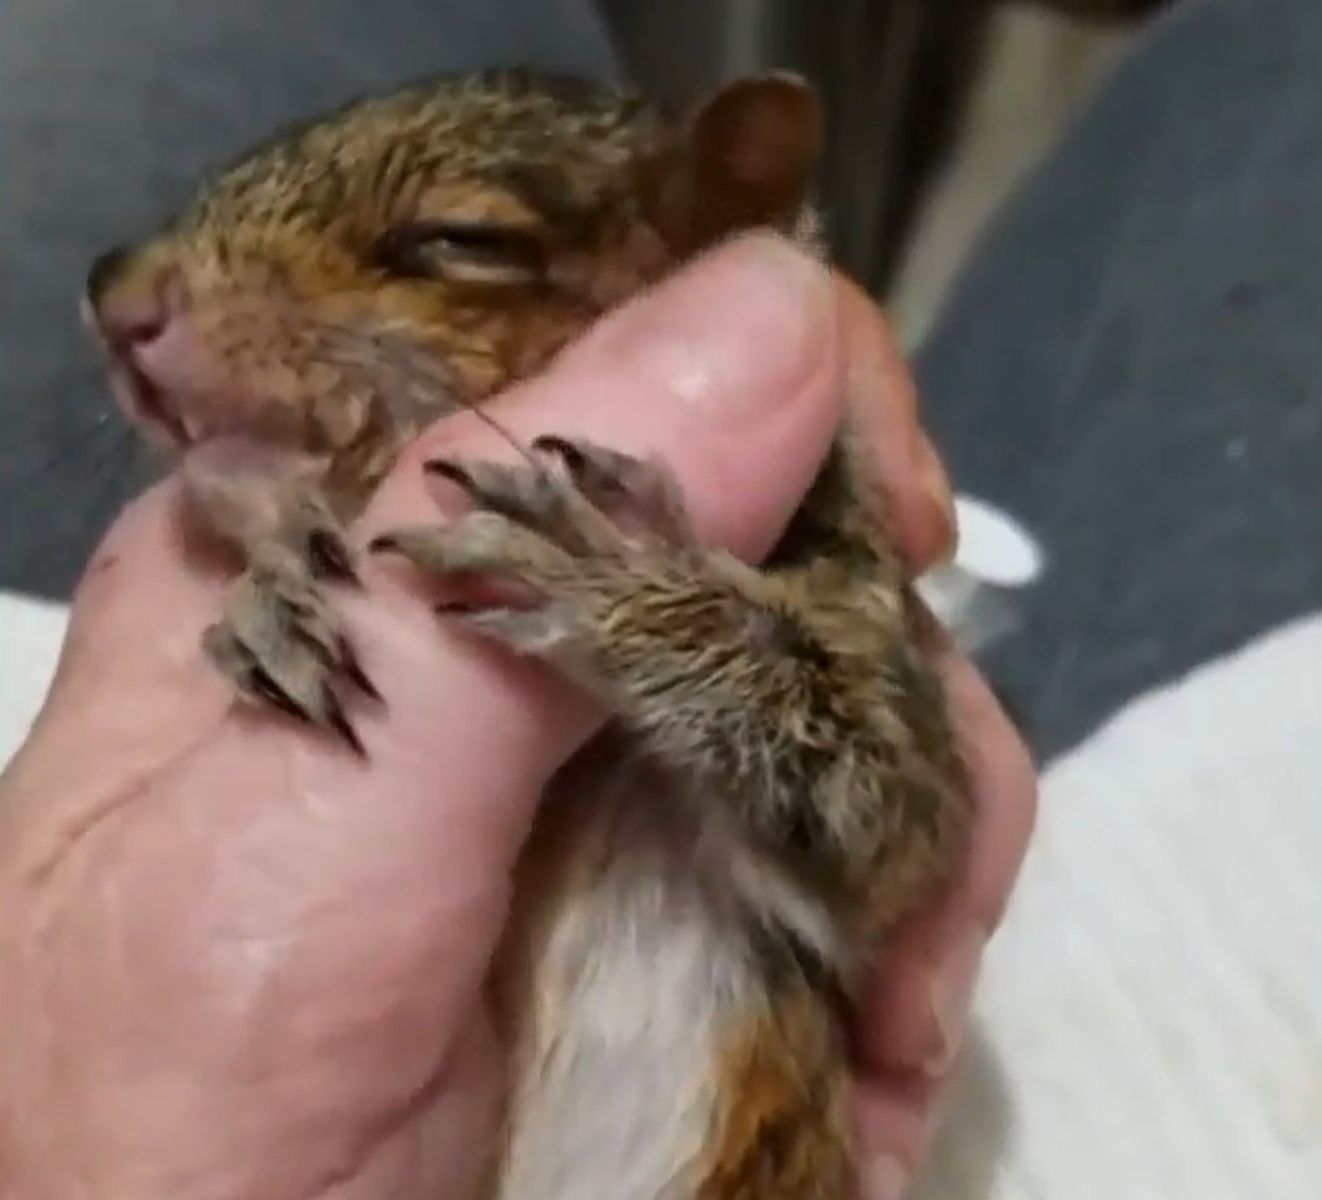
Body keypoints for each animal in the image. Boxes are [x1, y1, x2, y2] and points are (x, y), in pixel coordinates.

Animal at [84, 68, 970, 1199]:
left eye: (461, 239)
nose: (115, 294)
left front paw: (612, 580)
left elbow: (890, 819)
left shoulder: (867, 655)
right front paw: (260, 604)